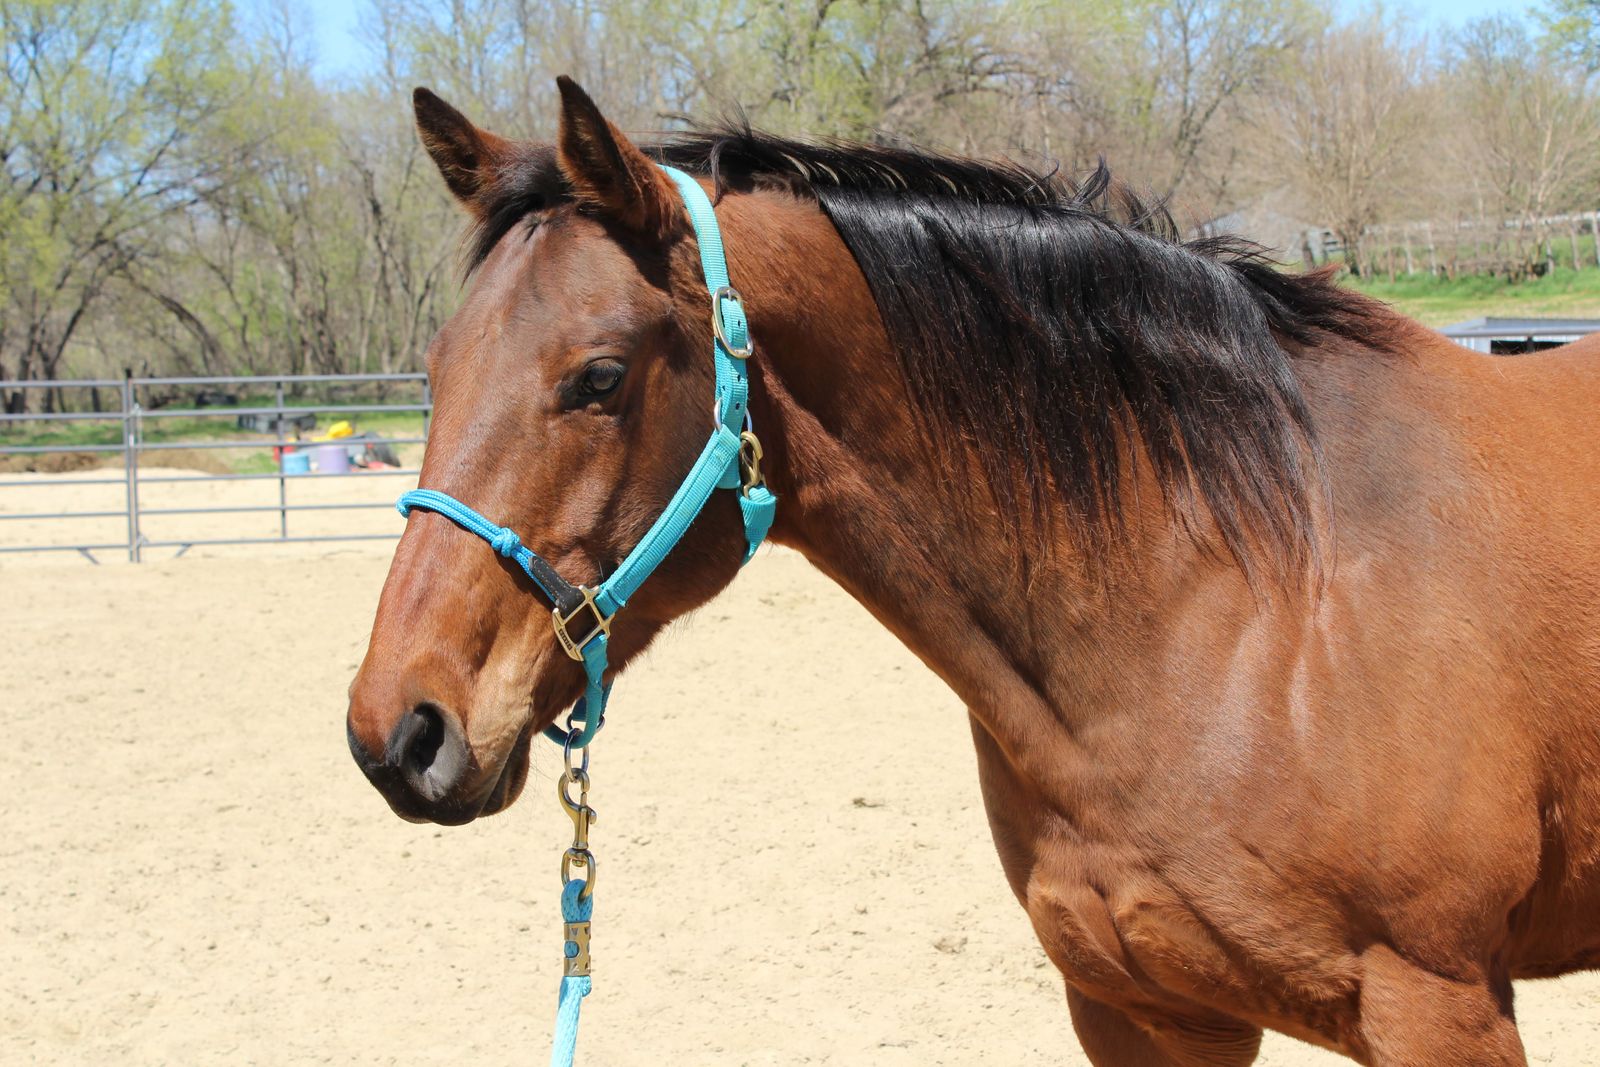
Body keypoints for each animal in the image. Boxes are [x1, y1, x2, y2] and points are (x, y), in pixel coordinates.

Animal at [346, 78, 1600, 1065]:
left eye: (598, 376)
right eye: (436, 368)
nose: (398, 731)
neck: (1261, 599)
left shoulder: (1436, 1009)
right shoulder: (1140, 1012)